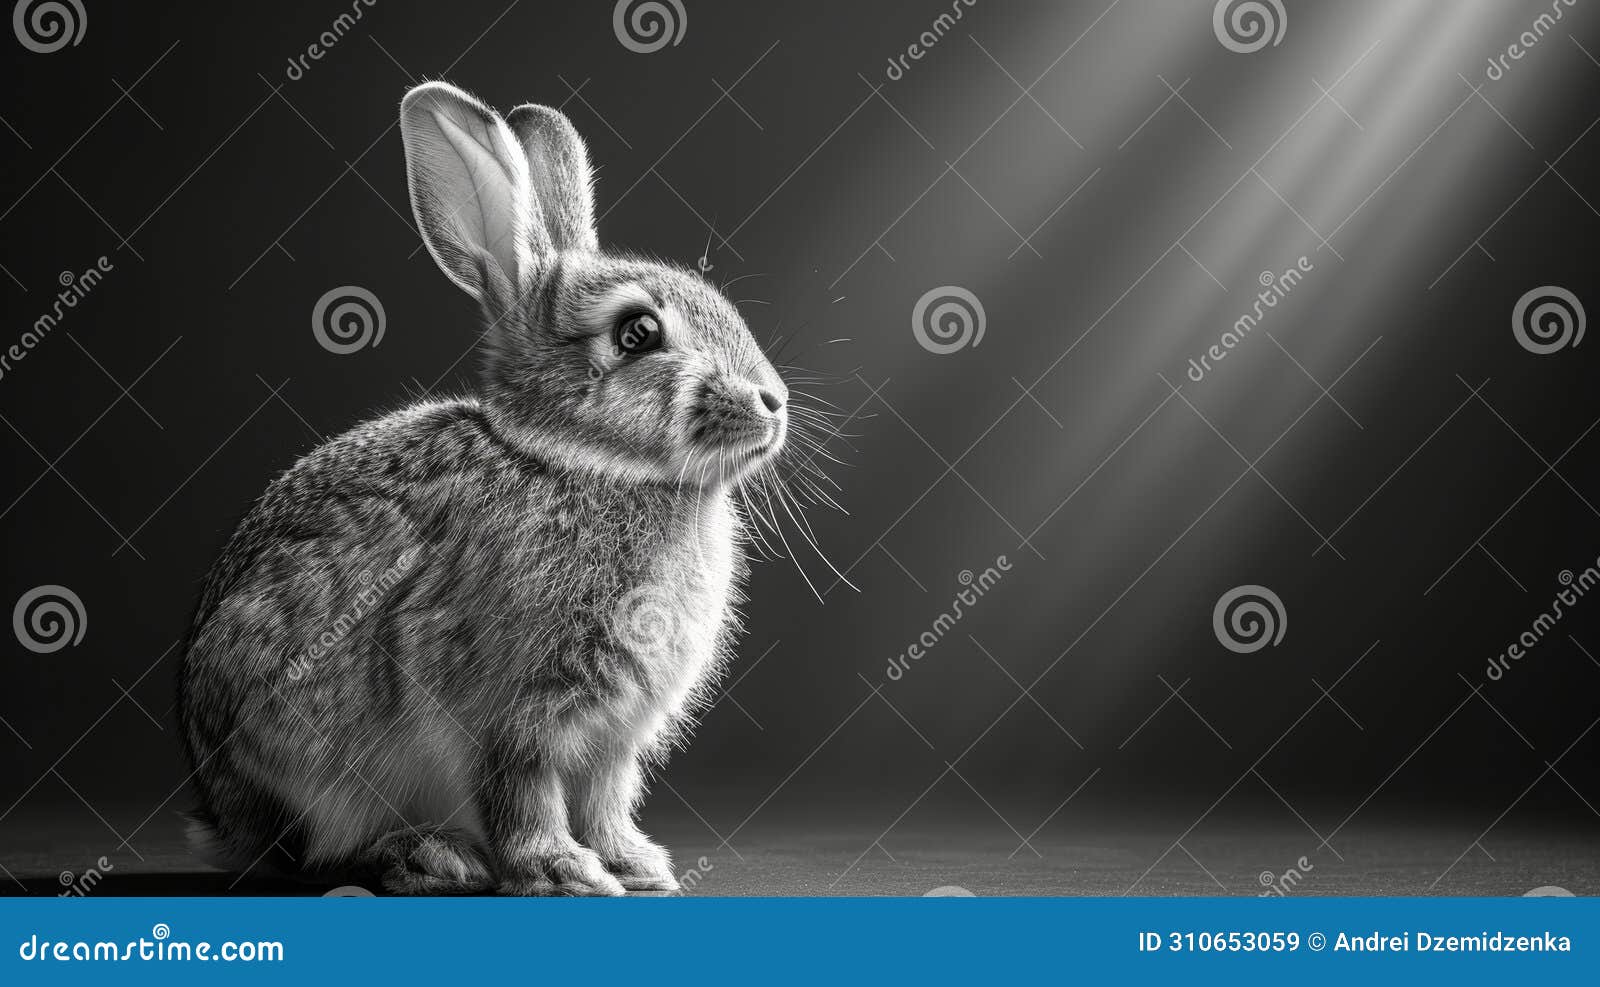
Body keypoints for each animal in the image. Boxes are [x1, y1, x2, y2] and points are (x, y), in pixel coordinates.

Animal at [176, 80, 791, 896]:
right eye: (637, 334)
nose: (773, 402)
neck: (580, 461)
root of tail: (223, 823)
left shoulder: (614, 734)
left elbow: (605, 794)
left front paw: (634, 864)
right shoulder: (510, 712)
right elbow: (520, 790)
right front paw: (563, 873)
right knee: (322, 850)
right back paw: (428, 856)